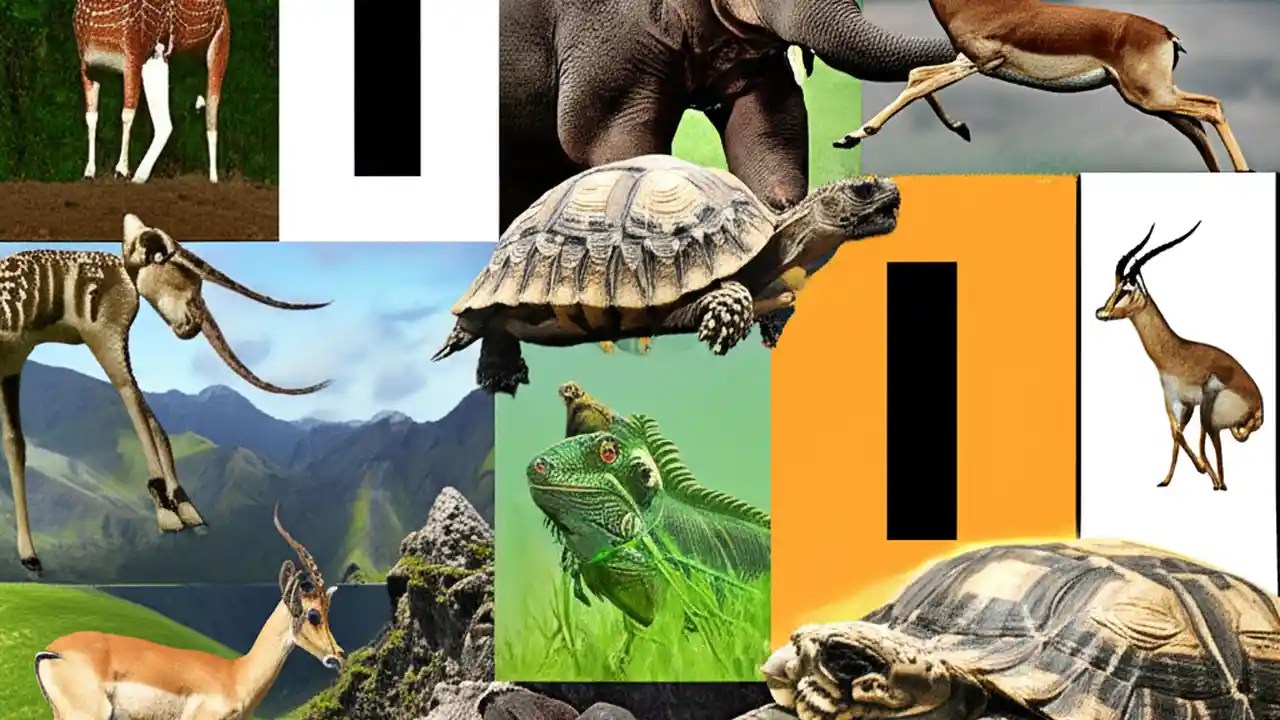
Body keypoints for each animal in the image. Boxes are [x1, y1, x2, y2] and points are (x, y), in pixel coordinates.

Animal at [1, 214, 329, 575]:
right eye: (185, 276)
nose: (191, 325)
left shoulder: (14, 365)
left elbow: (16, 445)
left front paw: (185, 509)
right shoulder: (101, 332)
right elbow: (132, 401)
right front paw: (166, 510)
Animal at [74, 0, 231, 183]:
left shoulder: (132, 58)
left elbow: (126, 115)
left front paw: (121, 170)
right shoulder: (88, 66)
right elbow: (91, 117)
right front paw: (89, 172)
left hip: (220, 42)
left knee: (211, 110)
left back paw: (213, 179)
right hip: (157, 61)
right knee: (167, 123)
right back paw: (140, 176)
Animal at [833, 0, 1250, 172]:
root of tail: (1166, 33)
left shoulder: (983, 63)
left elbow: (916, 84)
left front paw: (852, 135)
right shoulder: (965, 61)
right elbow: (917, 76)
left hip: (1151, 97)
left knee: (1212, 107)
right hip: (1150, 102)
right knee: (1197, 127)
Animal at [1095, 222, 1264, 492]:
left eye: (1126, 289)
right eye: (1115, 286)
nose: (1101, 312)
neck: (1176, 353)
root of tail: (1259, 410)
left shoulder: (1197, 399)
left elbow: (1185, 437)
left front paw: (1202, 469)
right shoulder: (1176, 401)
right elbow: (1176, 432)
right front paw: (1165, 481)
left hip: (1210, 413)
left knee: (1213, 442)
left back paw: (1218, 482)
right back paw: (1216, 482)